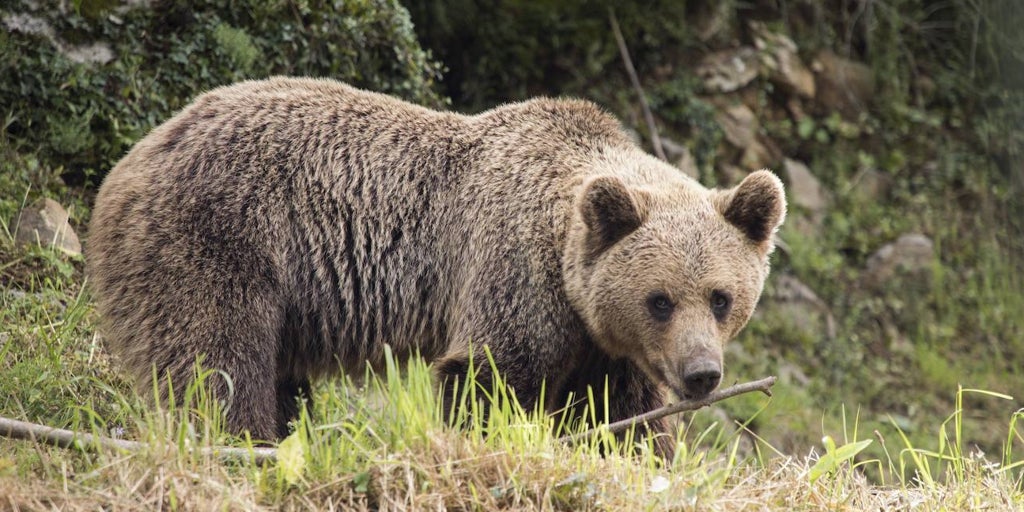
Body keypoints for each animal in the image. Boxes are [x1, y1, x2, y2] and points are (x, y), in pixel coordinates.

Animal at [87, 77, 785, 454]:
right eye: (659, 299)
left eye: (721, 297)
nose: (701, 374)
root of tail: (132, 159)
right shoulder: (513, 274)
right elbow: (487, 375)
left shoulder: (606, 346)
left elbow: (621, 418)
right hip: (220, 241)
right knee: (218, 364)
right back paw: (241, 442)